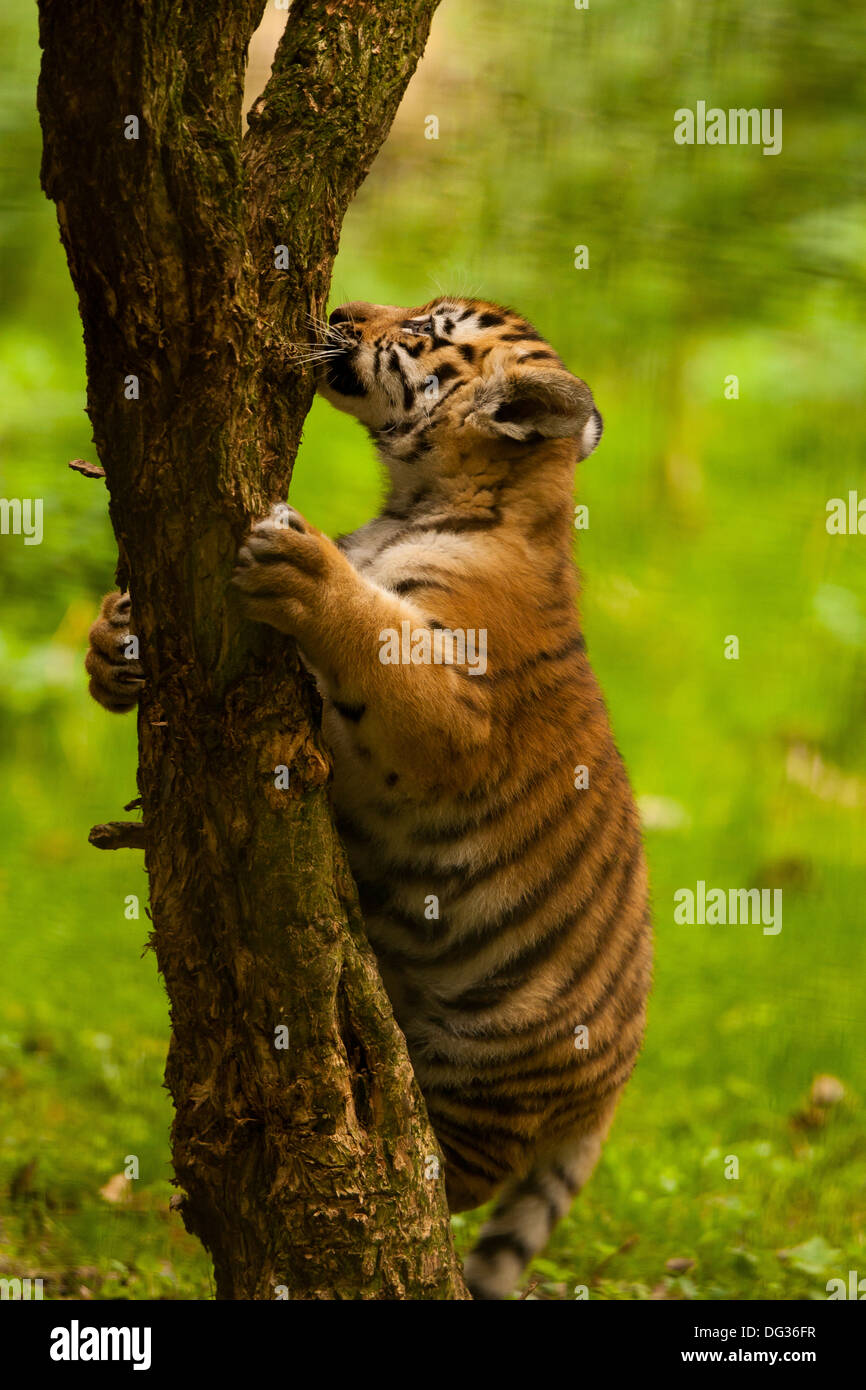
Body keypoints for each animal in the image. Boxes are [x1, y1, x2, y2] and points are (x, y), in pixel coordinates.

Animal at [85, 297, 652, 1300]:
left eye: (424, 330)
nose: (342, 310)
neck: (420, 503)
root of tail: (611, 1095)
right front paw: (115, 643)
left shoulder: (454, 713)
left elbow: (368, 634)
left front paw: (303, 567)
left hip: (484, 1068)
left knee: (434, 1174)